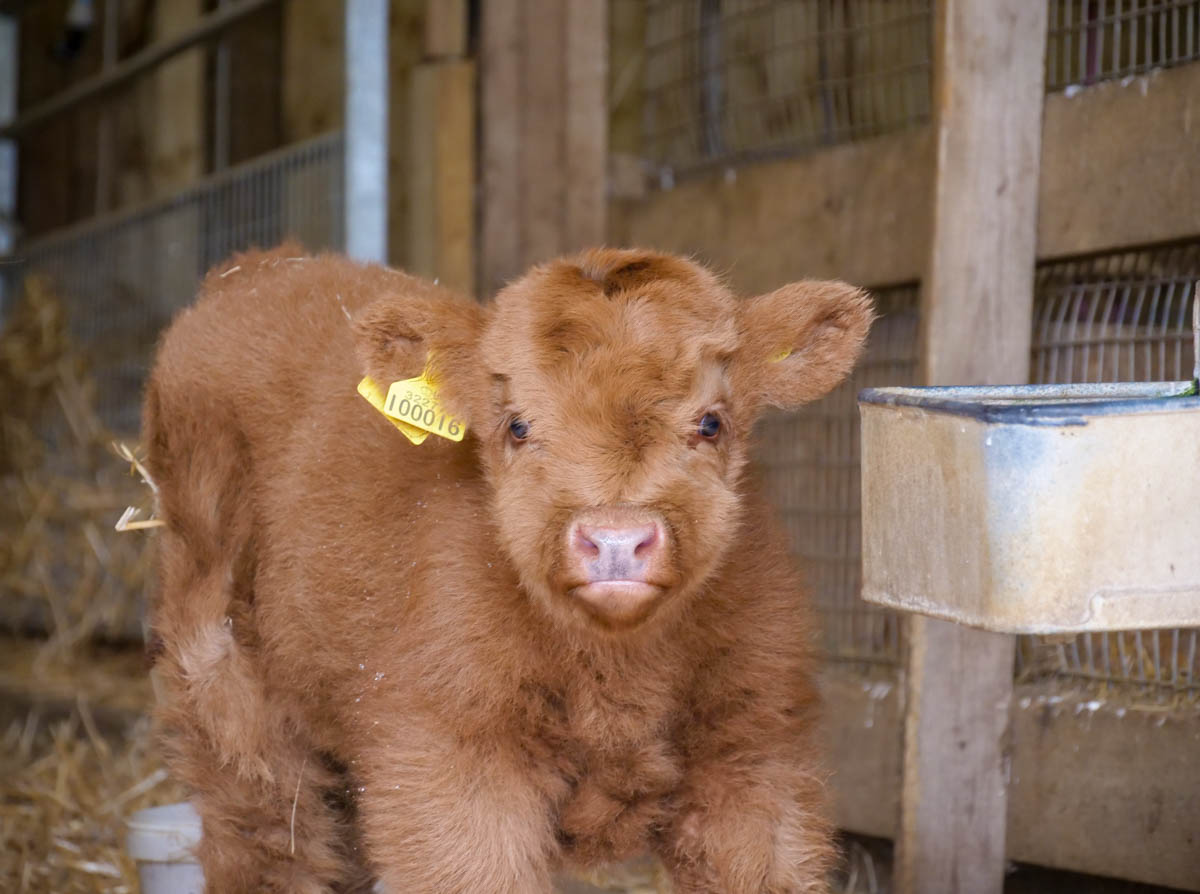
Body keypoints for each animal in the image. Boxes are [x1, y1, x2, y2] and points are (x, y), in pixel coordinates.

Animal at [142, 245, 873, 893]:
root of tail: (259, 267)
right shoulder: (452, 771)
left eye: (712, 423)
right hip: (224, 682)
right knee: (266, 839)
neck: (618, 678)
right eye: (517, 426)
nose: (615, 539)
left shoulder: (756, 759)